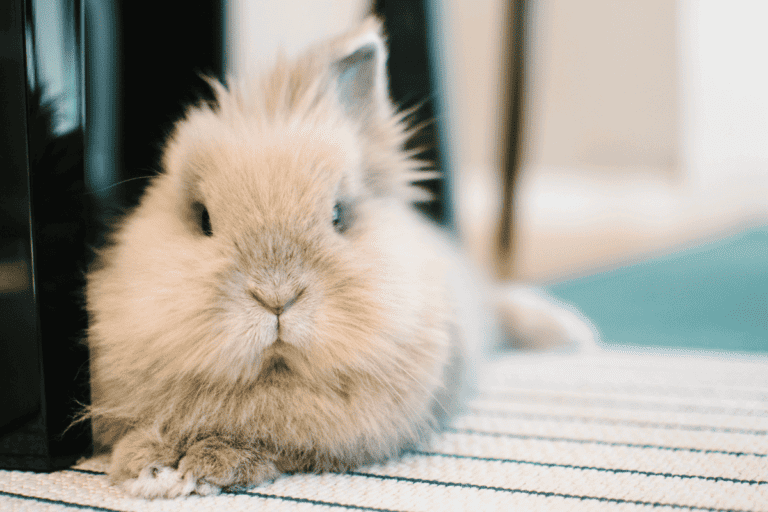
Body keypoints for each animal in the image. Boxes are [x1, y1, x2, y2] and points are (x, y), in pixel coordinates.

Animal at [84, 17, 597, 499]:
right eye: (203, 219)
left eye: (338, 214)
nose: (276, 298)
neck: (274, 376)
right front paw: (144, 464)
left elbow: (271, 445)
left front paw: (195, 466)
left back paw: (569, 331)